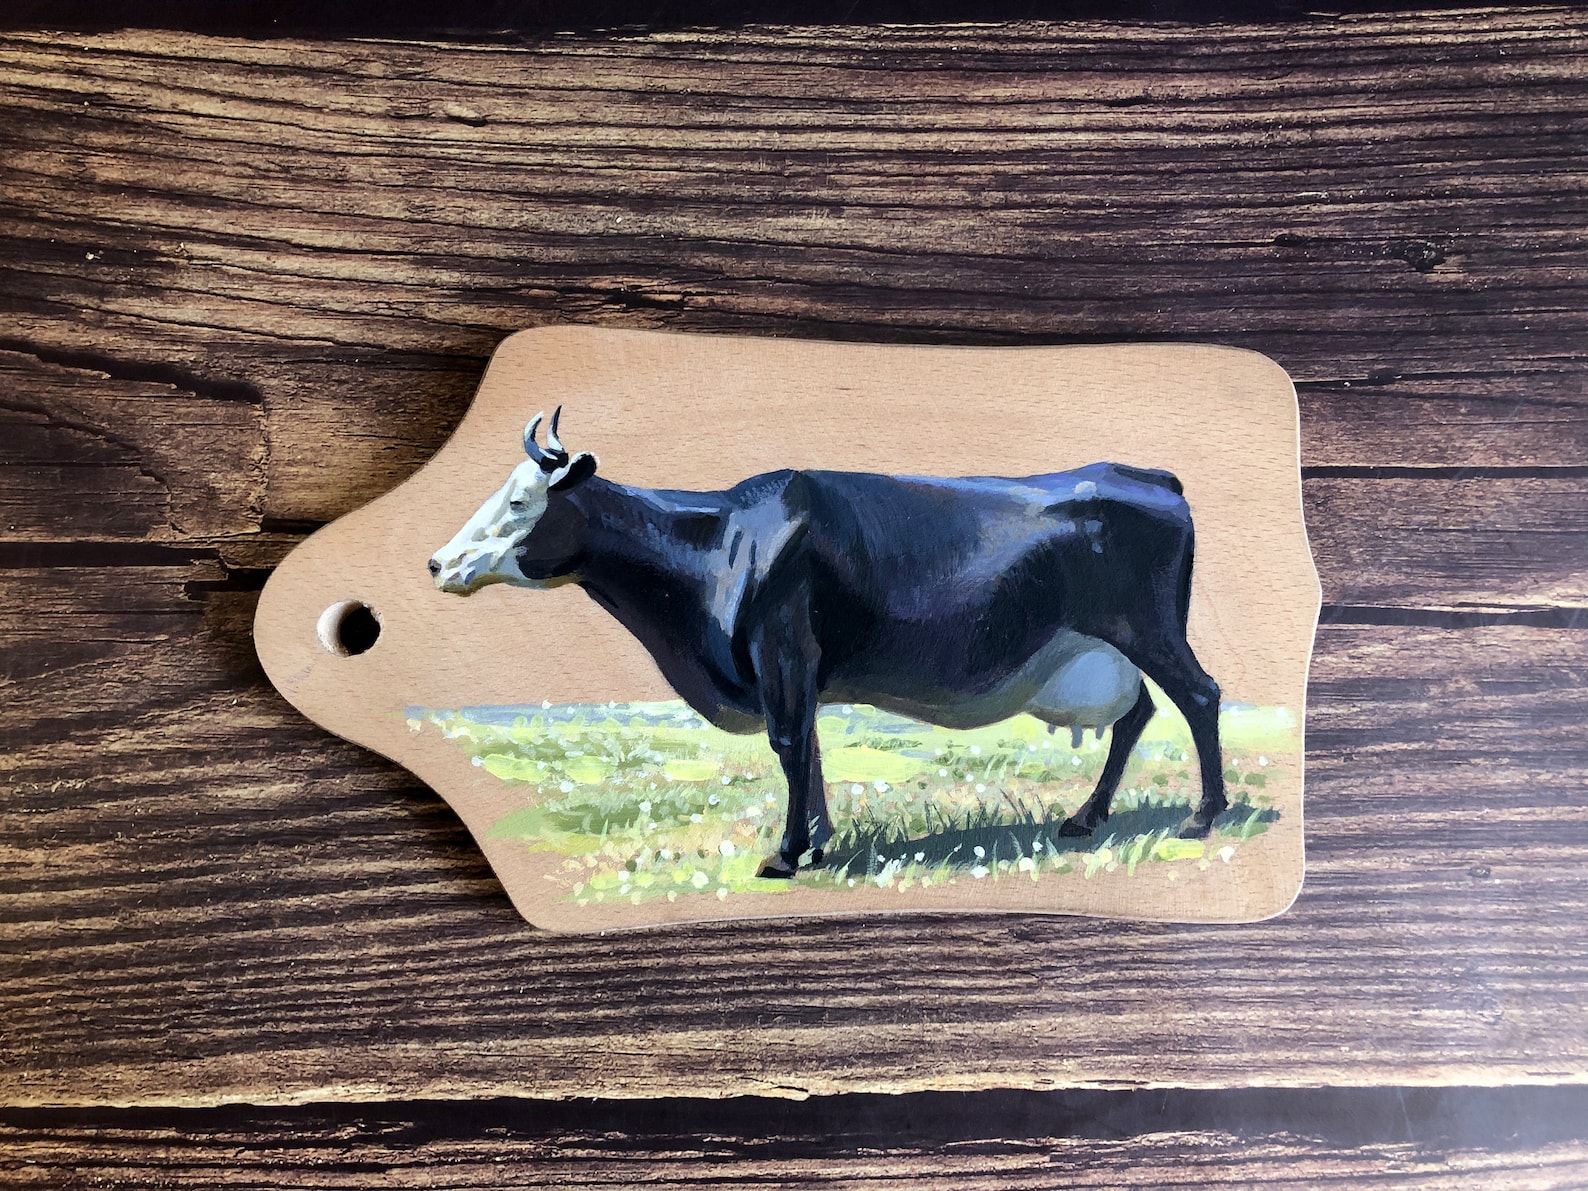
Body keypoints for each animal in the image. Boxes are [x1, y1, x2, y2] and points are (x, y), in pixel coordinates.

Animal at [430, 408, 1226, 878]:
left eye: (520, 501)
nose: (438, 563)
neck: (721, 541)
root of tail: (1150, 475)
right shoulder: (797, 666)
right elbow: (808, 749)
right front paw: (818, 841)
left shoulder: (781, 648)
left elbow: (787, 744)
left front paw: (785, 855)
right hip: (1112, 648)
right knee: (1137, 715)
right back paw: (1086, 818)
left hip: (1149, 629)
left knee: (1199, 696)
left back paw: (1201, 816)